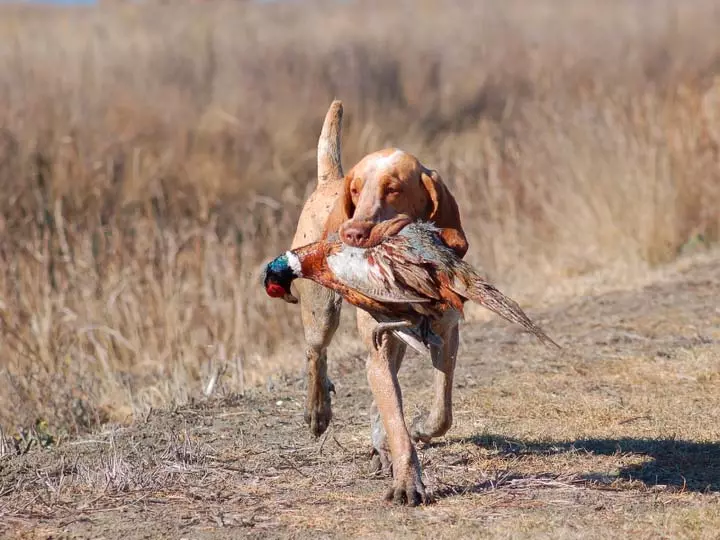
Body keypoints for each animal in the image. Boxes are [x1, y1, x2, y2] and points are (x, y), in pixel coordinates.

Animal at [290, 102, 470, 506]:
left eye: (393, 189)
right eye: (356, 190)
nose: (353, 233)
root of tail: (329, 180)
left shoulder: (446, 337)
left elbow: (441, 411)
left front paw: (419, 428)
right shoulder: (377, 352)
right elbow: (396, 423)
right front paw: (407, 482)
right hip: (322, 314)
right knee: (315, 354)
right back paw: (317, 410)